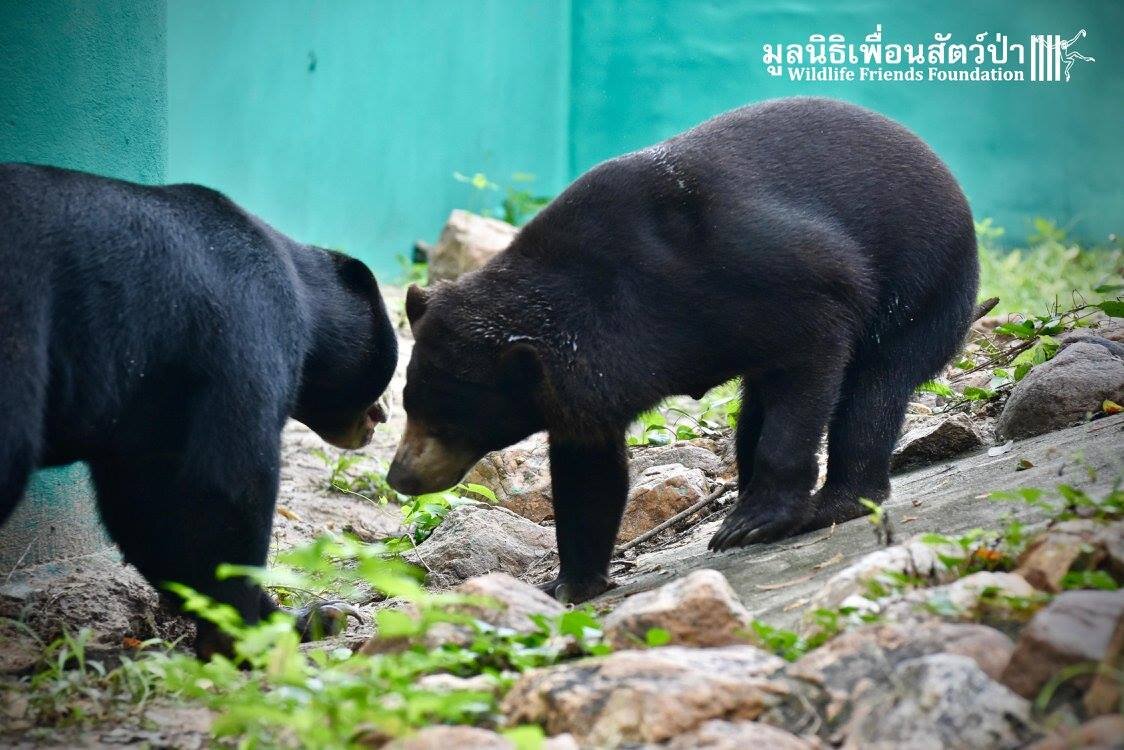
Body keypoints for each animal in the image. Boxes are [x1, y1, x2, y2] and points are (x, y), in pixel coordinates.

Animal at [0, 163, 399, 657]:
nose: (381, 418)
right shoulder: (242, 329)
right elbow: (225, 486)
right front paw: (244, 637)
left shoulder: (150, 398)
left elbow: (147, 504)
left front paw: (317, 617)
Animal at [386, 97, 979, 603]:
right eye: (410, 407)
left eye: (450, 423)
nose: (400, 479)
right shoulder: (584, 386)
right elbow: (588, 474)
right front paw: (569, 584)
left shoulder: (772, 280)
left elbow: (815, 354)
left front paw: (754, 523)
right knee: (757, 409)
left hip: (922, 291)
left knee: (873, 391)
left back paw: (835, 503)